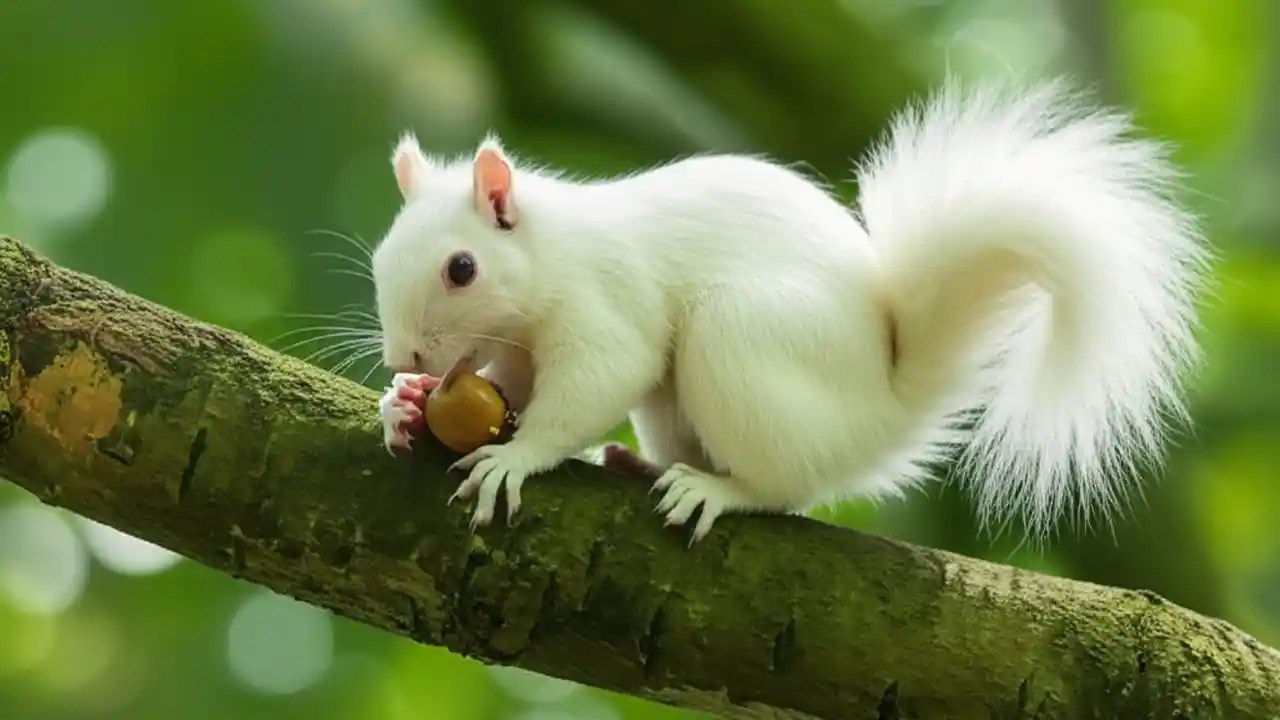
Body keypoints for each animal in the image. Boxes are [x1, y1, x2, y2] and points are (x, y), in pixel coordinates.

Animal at [373, 80, 1210, 543]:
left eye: (462, 268)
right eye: (381, 257)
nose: (402, 358)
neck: (548, 258)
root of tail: (876, 415)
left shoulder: (604, 305)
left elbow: (594, 383)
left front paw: (514, 459)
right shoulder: (515, 346)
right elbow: (508, 386)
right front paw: (407, 405)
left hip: (736, 342)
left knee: (786, 489)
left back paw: (717, 490)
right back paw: (648, 463)